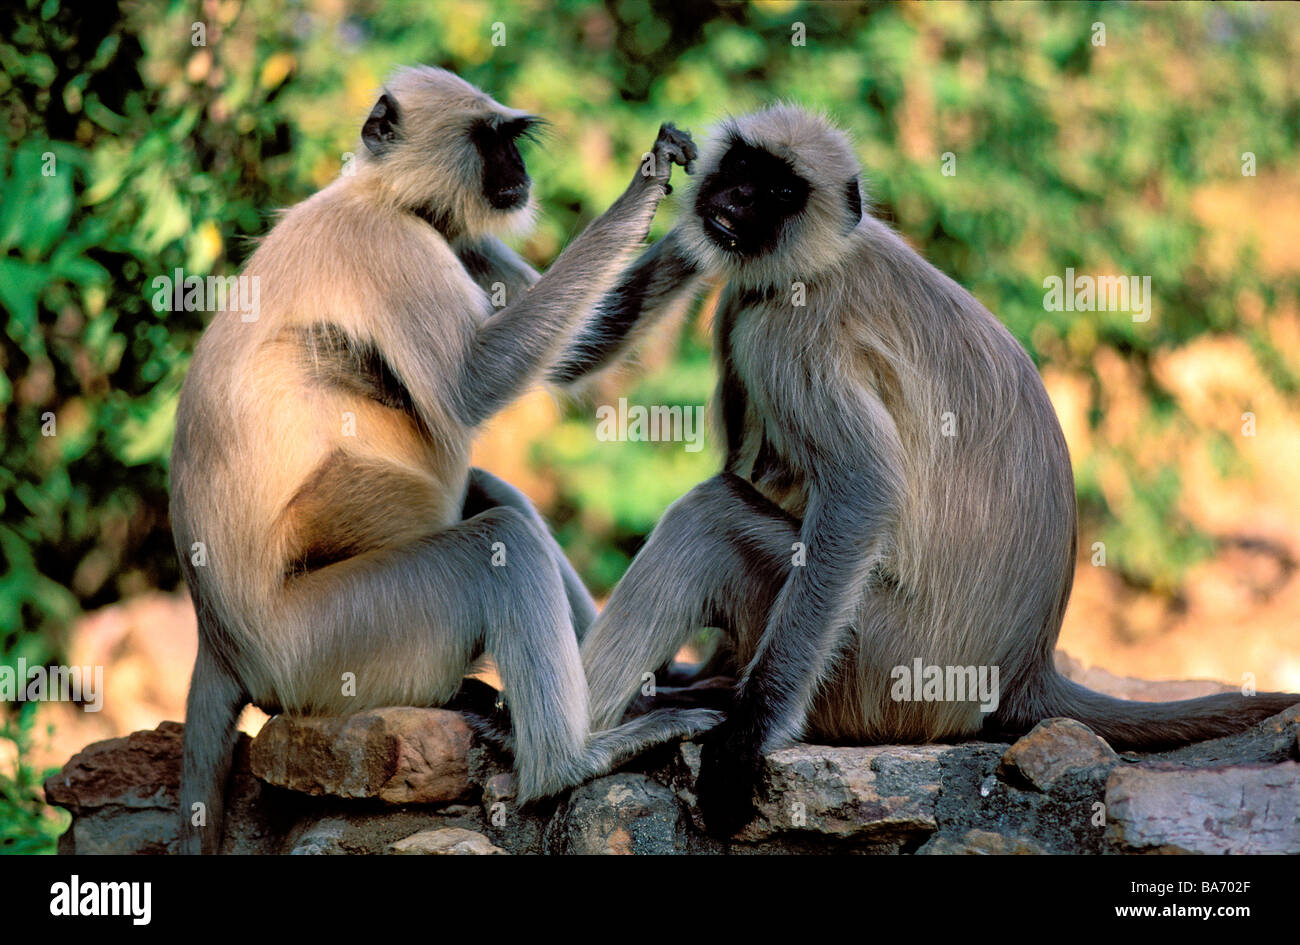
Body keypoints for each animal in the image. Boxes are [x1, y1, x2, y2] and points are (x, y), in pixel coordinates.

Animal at [169, 65, 715, 854]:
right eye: (491, 141)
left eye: (511, 140)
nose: (518, 171)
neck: (377, 191)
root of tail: (216, 635)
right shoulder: (390, 244)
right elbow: (476, 381)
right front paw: (645, 184)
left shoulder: (455, 238)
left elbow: (579, 348)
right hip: (331, 641)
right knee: (498, 542)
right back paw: (571, 761)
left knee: (491, 496)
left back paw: (647, 689)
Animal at [576, 104, 1300, 837]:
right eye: (744, 167)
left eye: (781, 193)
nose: (735, 202)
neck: (828, 256)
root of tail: (1025, 670)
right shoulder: (747, 308)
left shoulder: (786, 330)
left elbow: (861, 492)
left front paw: (746, 737)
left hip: (880, 663)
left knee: (713, 517)